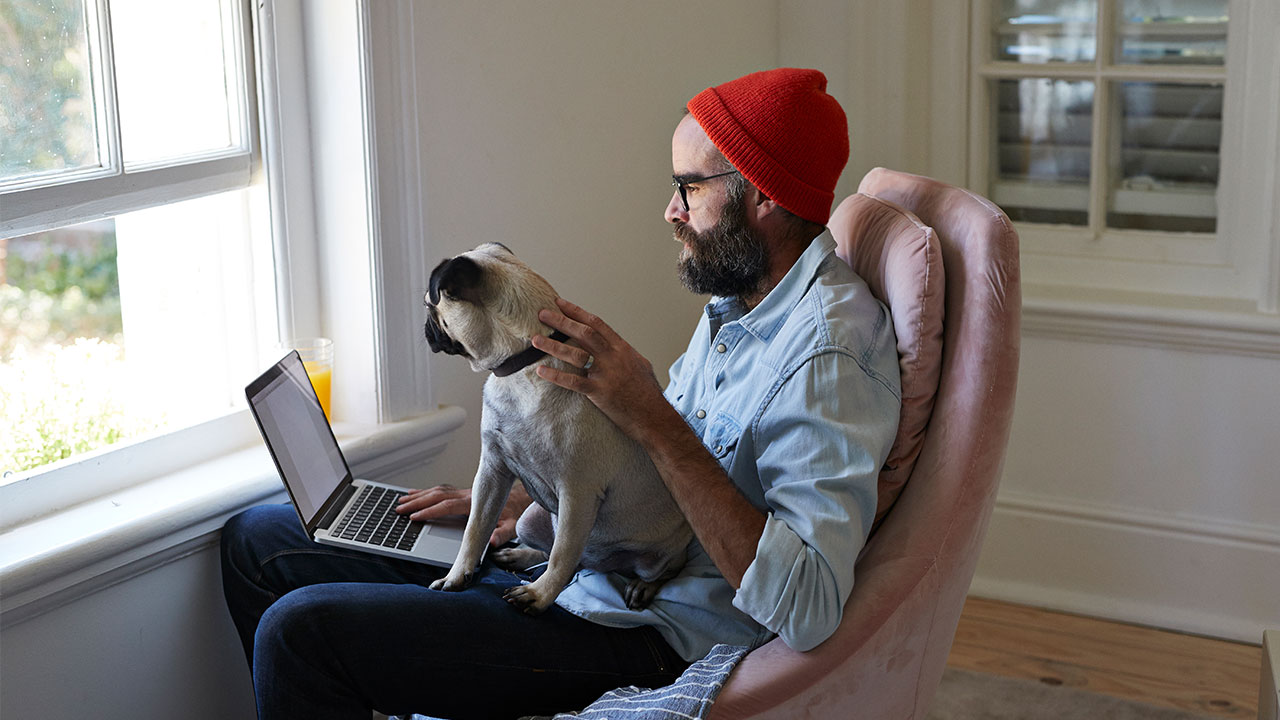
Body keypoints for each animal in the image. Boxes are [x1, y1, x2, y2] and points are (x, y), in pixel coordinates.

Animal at [424, 240, 696, 609]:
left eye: (430, 305)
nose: (426, 328)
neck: (526, 361)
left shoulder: (577, 493)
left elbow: (562, 554)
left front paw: (540, 595)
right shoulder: (492, 472)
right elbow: (475, 530)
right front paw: (458, 575)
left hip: (655, 557)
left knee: (655, 568)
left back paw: (643, 586)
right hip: (530, 518)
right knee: (557, 551)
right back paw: (519, 555)